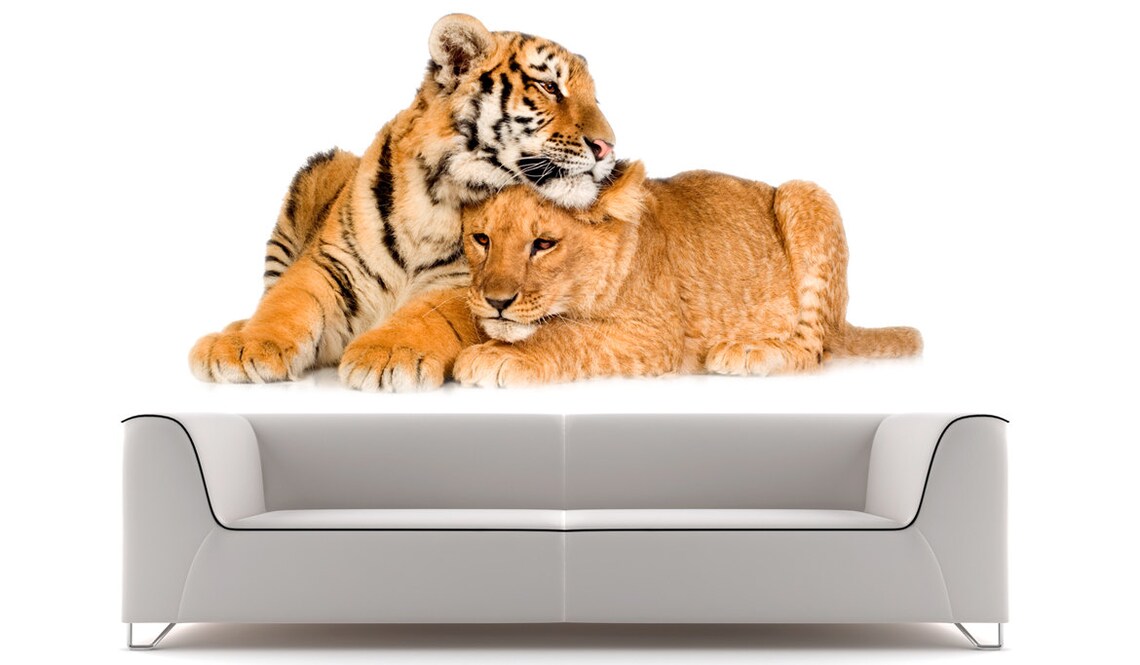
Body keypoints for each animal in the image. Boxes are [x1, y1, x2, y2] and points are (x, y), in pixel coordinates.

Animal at [189, 14, 616, 386]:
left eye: (595, 98)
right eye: (549, 88)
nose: (607, 146)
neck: (438, 196)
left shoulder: (468, 283)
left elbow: (429, 313)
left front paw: (387, 354)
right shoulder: (330, 262)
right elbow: (288, 299)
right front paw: (242, 347)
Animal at [352, 161, 922, 390]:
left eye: (544, 244)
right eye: (482, 239)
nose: (497, 301)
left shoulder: (658, 334)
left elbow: (570, 334)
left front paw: (498, 356)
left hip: (807, 194)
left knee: (813, 348)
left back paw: (749, 351)